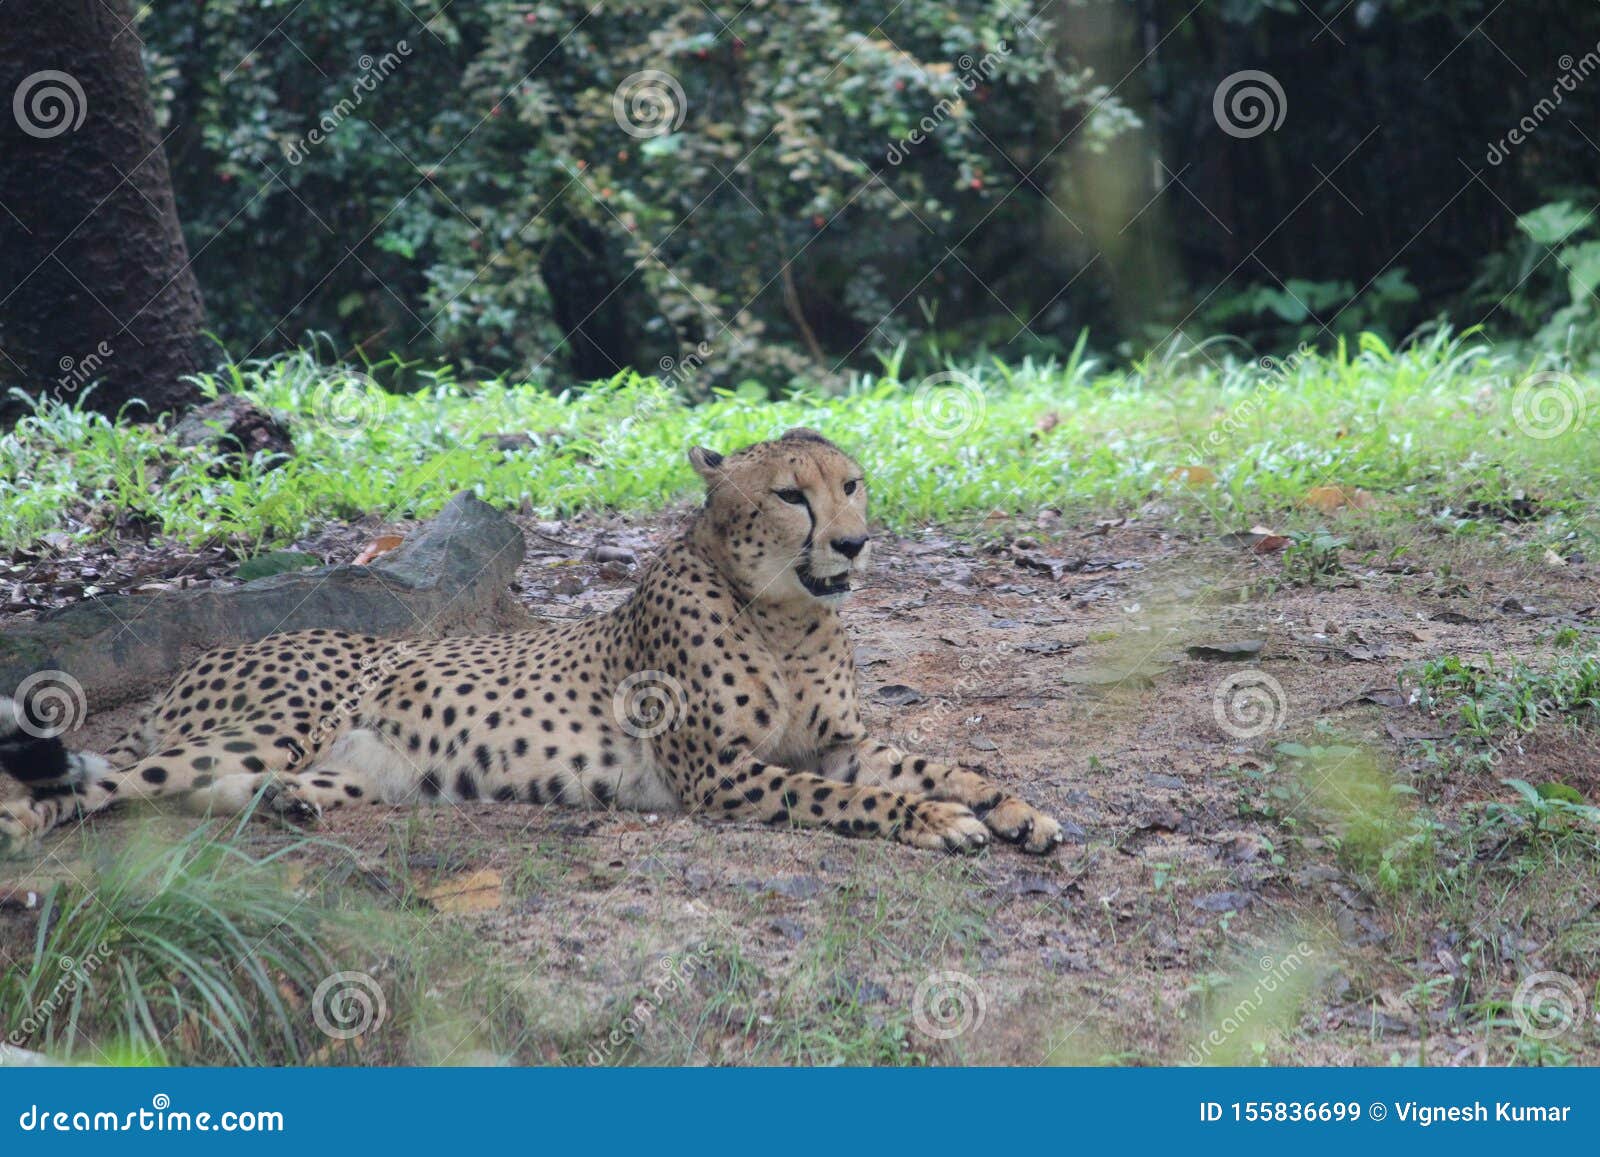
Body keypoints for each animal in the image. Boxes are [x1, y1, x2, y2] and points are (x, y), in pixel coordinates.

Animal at [0, 428, 1065, 856]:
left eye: (851, 485)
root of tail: (200, 662)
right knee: (103, 782)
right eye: (791, 495)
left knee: (184, 794)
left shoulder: (837, 739)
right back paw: (23, 826)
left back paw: (288, 805)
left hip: (352, 769)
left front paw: (1017, 809)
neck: (784, 615)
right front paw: (933, 822)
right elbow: (859, 797)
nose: (853, 542)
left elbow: (940, 760)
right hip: (266, 723)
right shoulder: (722, 771)